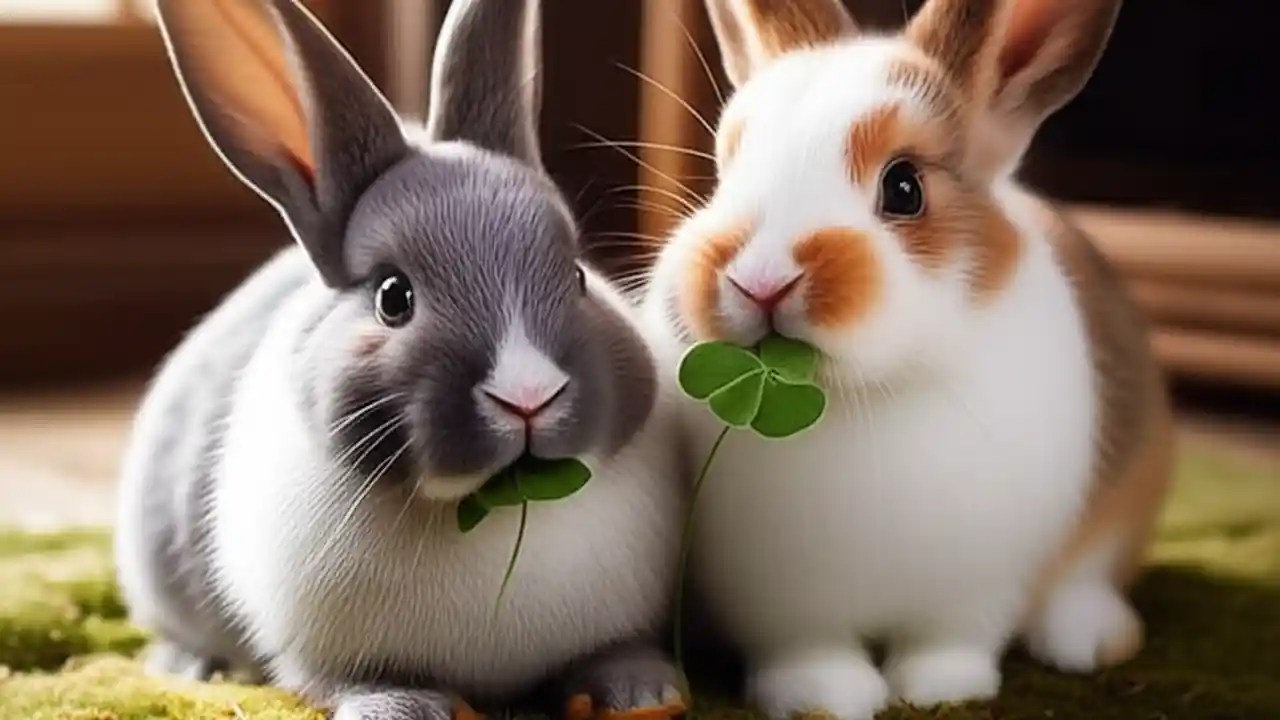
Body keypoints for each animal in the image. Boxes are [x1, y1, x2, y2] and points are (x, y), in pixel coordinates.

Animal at [112, 1, 689, 718]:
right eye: (394, 297)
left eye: (578, 276)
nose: (528, 396)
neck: (502, 508)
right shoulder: (316, 656)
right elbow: (349, 681)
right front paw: (404, 706)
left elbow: (613, 651)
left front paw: (644, 693)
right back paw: (187, 667)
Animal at [641, 0, 1173, 717]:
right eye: (725, 177)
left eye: (904, 188)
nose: (760, 281)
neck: (867, 392)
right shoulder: (781, 601)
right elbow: (809, 650)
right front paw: (823, 698)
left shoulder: (978, 584)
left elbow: (950, 641)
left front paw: (938, 689)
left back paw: (1087, 639)